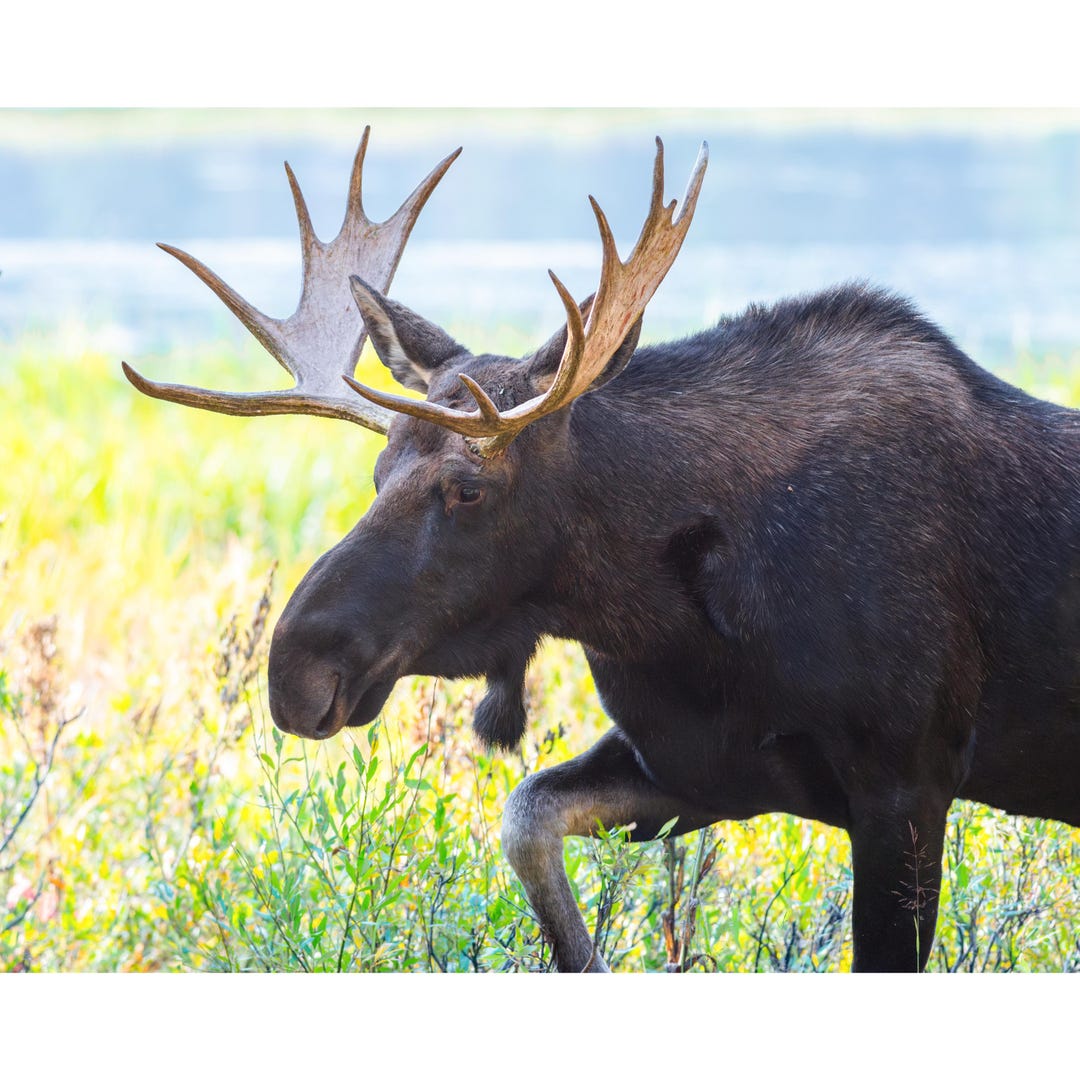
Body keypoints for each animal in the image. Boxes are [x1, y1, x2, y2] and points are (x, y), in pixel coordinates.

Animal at [125, 128, 1080, 973]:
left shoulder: (906, 781)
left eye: (469, 489)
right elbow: (525, 819)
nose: (295, 670)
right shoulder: (708, 766)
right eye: (375, 472)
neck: (682, 620)